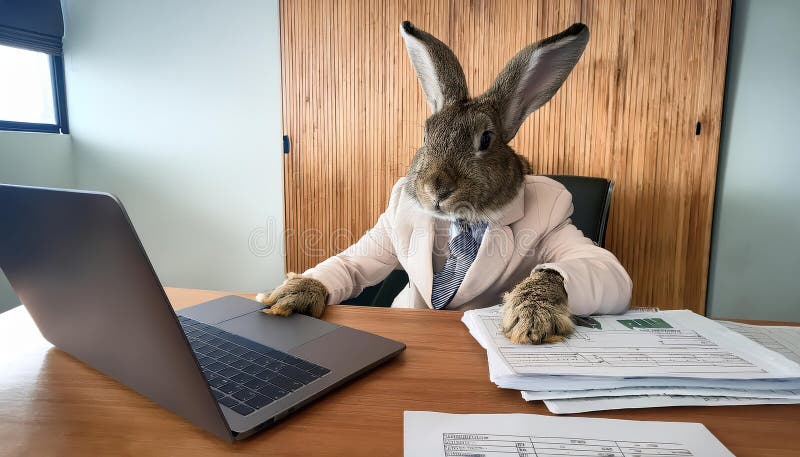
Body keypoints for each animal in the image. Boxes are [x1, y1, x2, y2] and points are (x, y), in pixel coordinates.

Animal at [257, 21, 632, 344]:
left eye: (486, 139)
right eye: (427, 134)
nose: (436, 188)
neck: (461, 220)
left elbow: (596, 267)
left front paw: (534, 313)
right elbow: (351, 262)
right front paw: (294, 293)